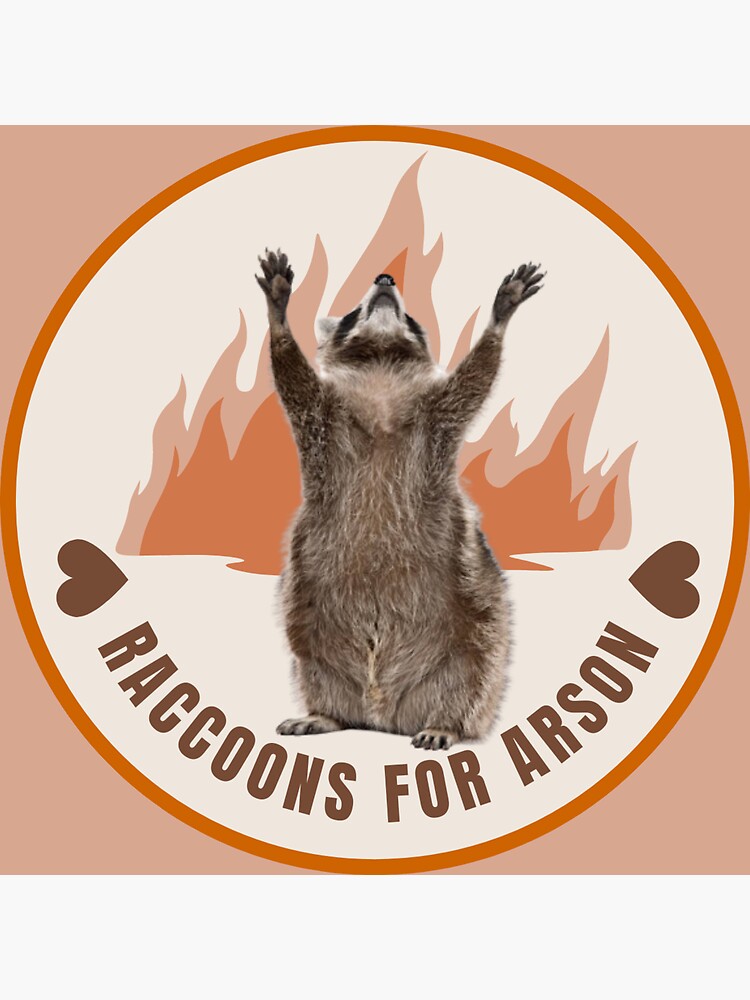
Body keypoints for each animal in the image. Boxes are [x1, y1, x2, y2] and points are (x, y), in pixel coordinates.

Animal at [256, 249, 543, 749]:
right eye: (355, 309)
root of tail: (383, 715)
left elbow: (474, 381)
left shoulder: (437, 415)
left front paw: (499, 319)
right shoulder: (321, 414)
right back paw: (325, 713)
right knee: (310, 659)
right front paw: (279, 317)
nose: (386, 278)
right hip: (308, 617)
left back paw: (445, 722)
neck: (381, 365)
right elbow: (293, 379)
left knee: (474, 674)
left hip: (476, 628)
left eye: (409, 317)